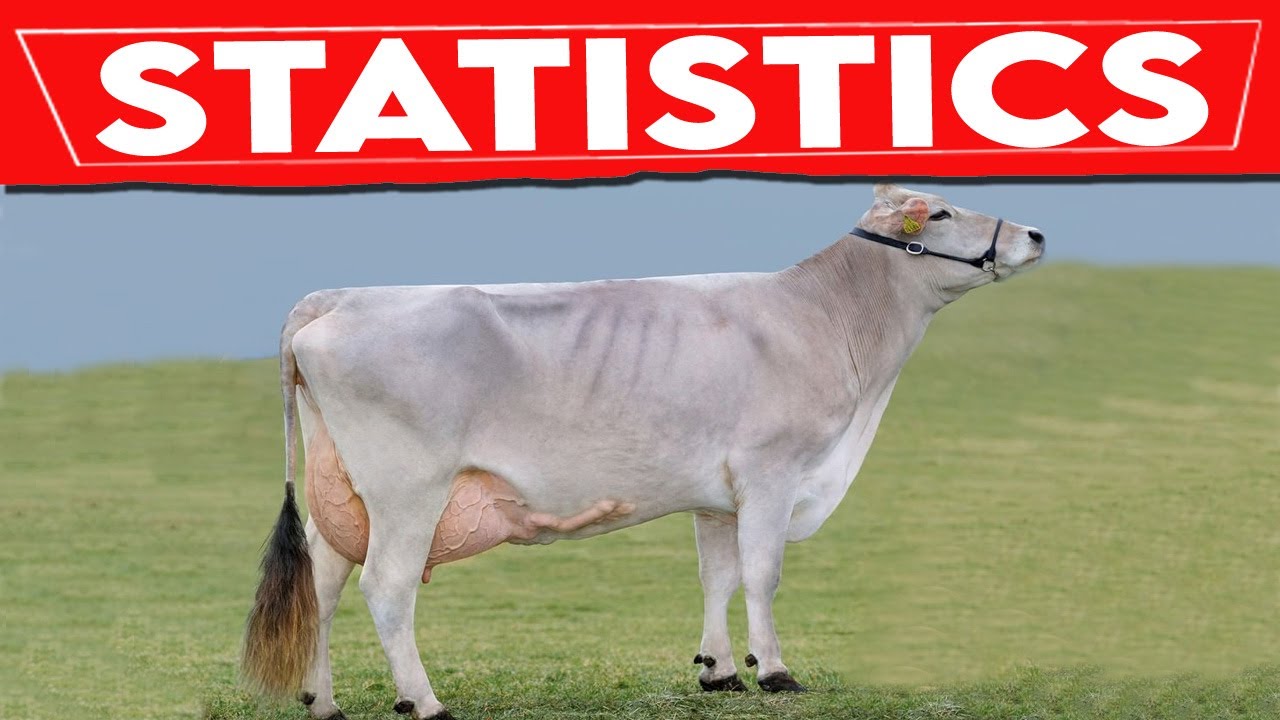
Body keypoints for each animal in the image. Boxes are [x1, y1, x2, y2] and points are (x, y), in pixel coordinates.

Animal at [241, 184, 1045, 720]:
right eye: (939, 213)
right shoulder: (772, 471)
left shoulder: (719, 493)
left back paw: (322, 700)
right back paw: (425, 701)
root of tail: (340, 297)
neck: (829, 323)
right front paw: (775, 670)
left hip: (343, 490)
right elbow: (763, 574)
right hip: (408, 489)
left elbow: (718, 576)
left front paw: (719, 670)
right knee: (387, 586)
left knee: (322, 581)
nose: (1035, 233)